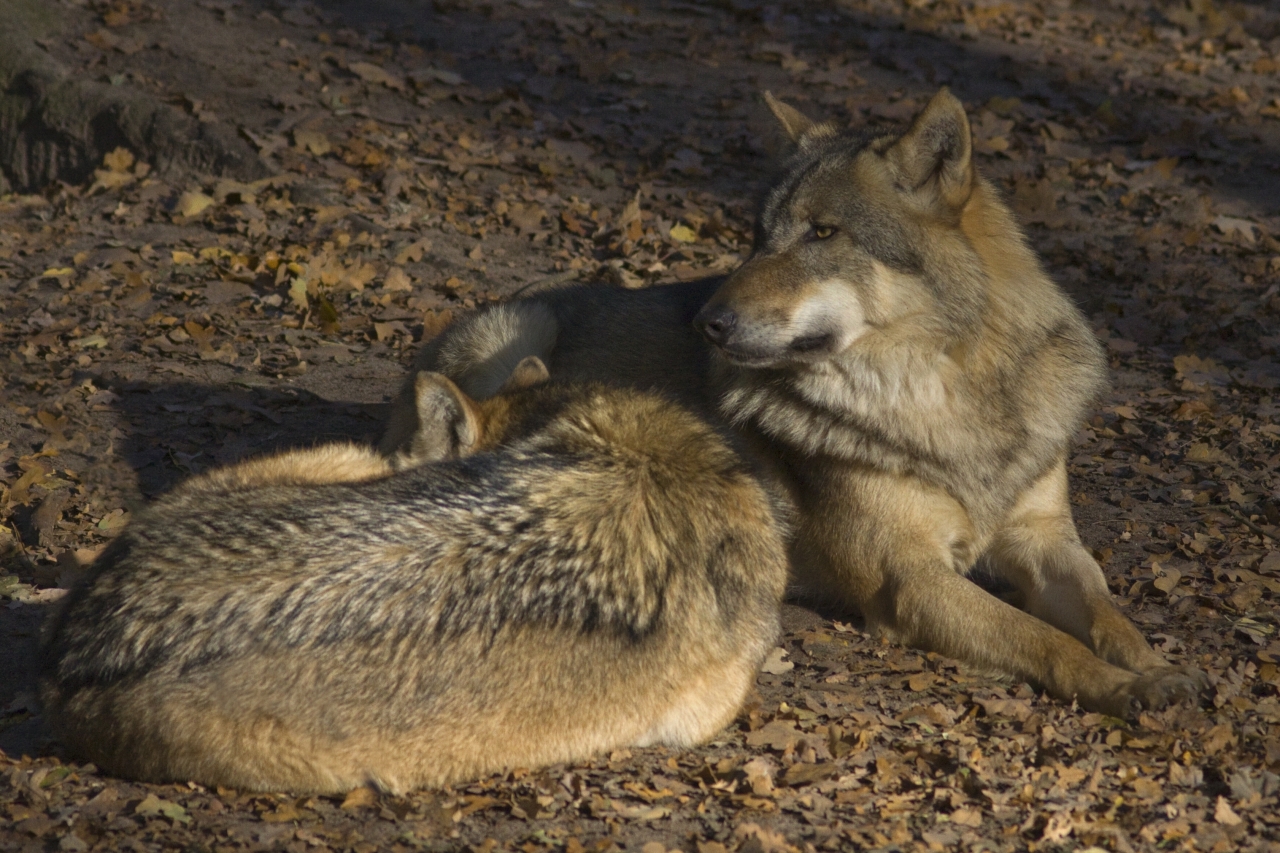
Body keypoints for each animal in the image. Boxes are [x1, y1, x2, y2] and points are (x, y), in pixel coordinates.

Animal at [384, 89, 1207, 719]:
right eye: (757, 236)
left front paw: (1159, 669)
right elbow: (1044, 639)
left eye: (822, 233)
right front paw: (1118, 687)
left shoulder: (1045, 542)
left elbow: (1107, 612)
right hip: (523, 335)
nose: (708, 323)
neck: (947, 404)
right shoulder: (911, 579)